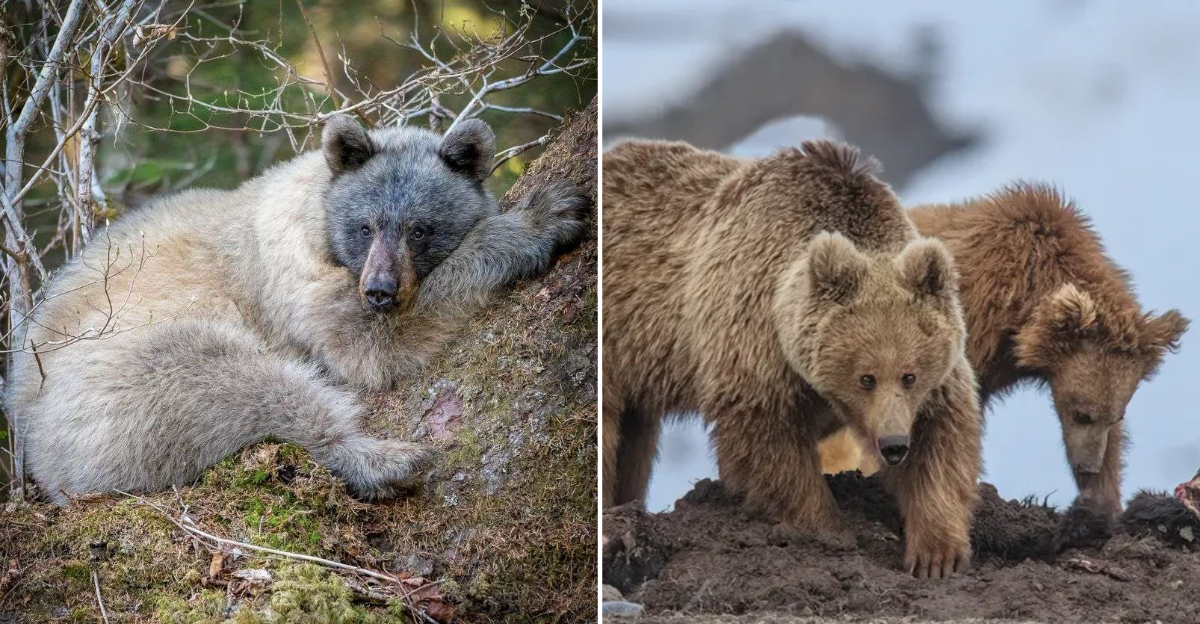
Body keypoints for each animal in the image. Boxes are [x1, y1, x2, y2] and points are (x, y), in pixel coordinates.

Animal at [6, 114, 586, 504]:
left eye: (420, 228)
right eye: (366, 225)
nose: (380, 291)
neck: (318, 218)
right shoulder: (293, 277)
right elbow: (368, 347)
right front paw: (541, 218)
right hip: (105, 389)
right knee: (230, 381)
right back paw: (381, 459)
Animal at [602, 138, 983, 579]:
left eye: (910, 375)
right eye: (866, 377)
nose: (892, 445)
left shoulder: (934, 383)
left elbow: (942, 439)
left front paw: (936, 554)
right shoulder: (753, 333)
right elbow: (769, 441)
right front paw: (828, 525)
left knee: (636, 440)